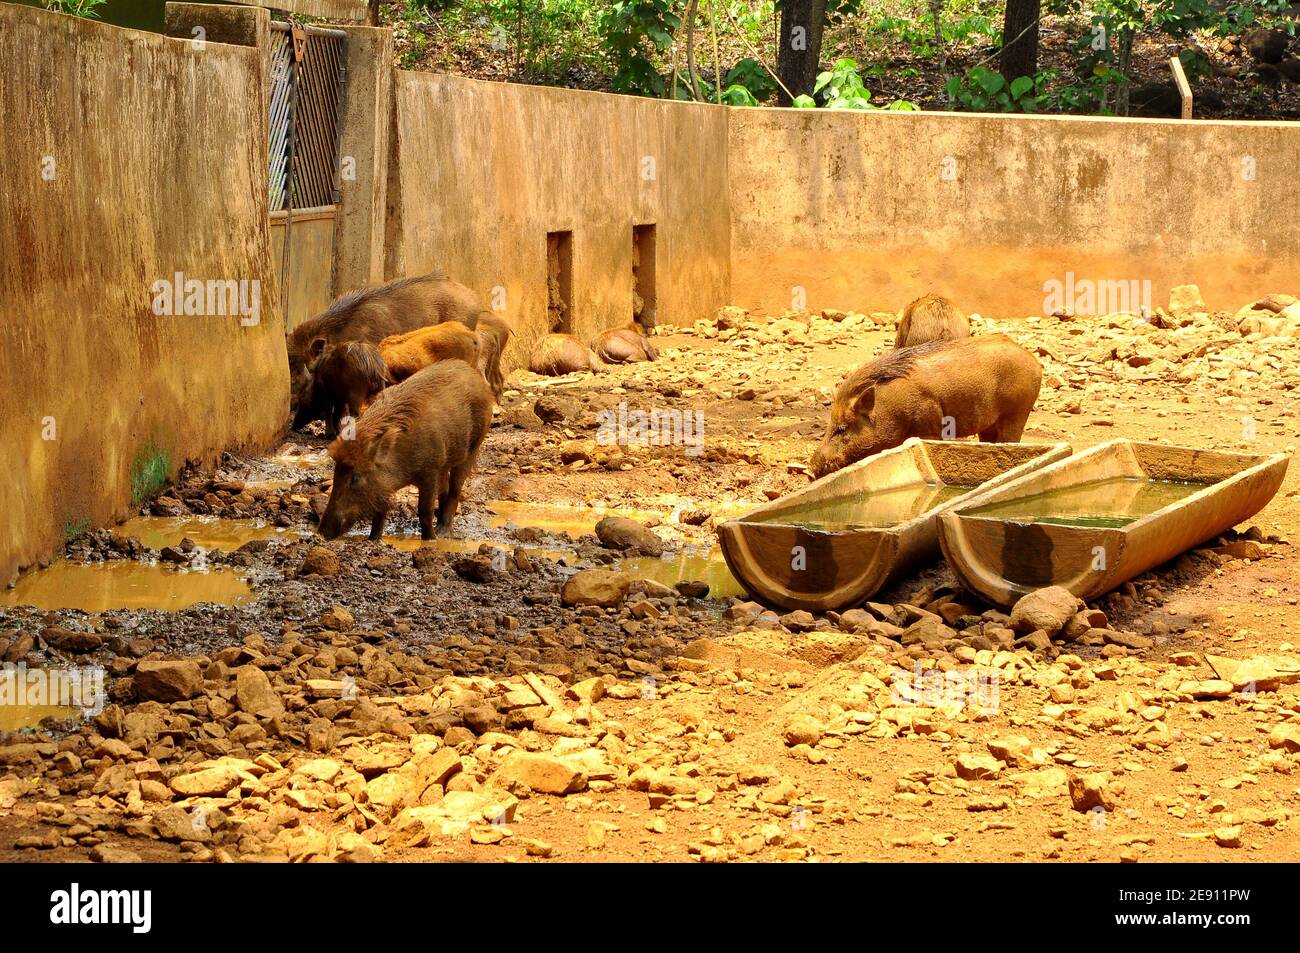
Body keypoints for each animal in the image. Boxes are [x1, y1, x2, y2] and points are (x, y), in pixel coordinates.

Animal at [317, 359, 493, 541]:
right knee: (444, 492)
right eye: (335, 471)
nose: (321, 532)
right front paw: (373, 540)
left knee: (455, 490)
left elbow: (424, 510)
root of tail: (475, 375)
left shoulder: (430, 471)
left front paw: (430, 540)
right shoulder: (386, 486)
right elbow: (379, 513)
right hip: (447, 460)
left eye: (355, 478)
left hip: (474, 445)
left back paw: (442, 532)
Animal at [809, 334, 1042, 478]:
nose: (811, 469)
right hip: (988, 425)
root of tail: (1032, 359)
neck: (891, 410)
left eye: (842, 428)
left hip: (1017, 413)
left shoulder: (931, 425)